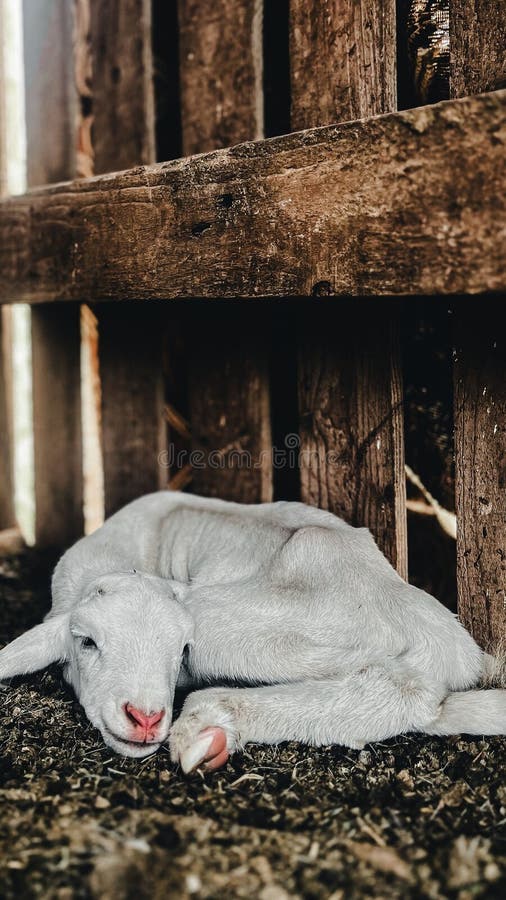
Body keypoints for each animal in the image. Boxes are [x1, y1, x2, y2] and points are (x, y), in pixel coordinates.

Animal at [1, 491, 504, 773]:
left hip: (238, 620)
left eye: (180, 650)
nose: (145, 718)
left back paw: (209, 724)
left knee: (404, 689)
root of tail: (453, 643)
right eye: (87, 641)